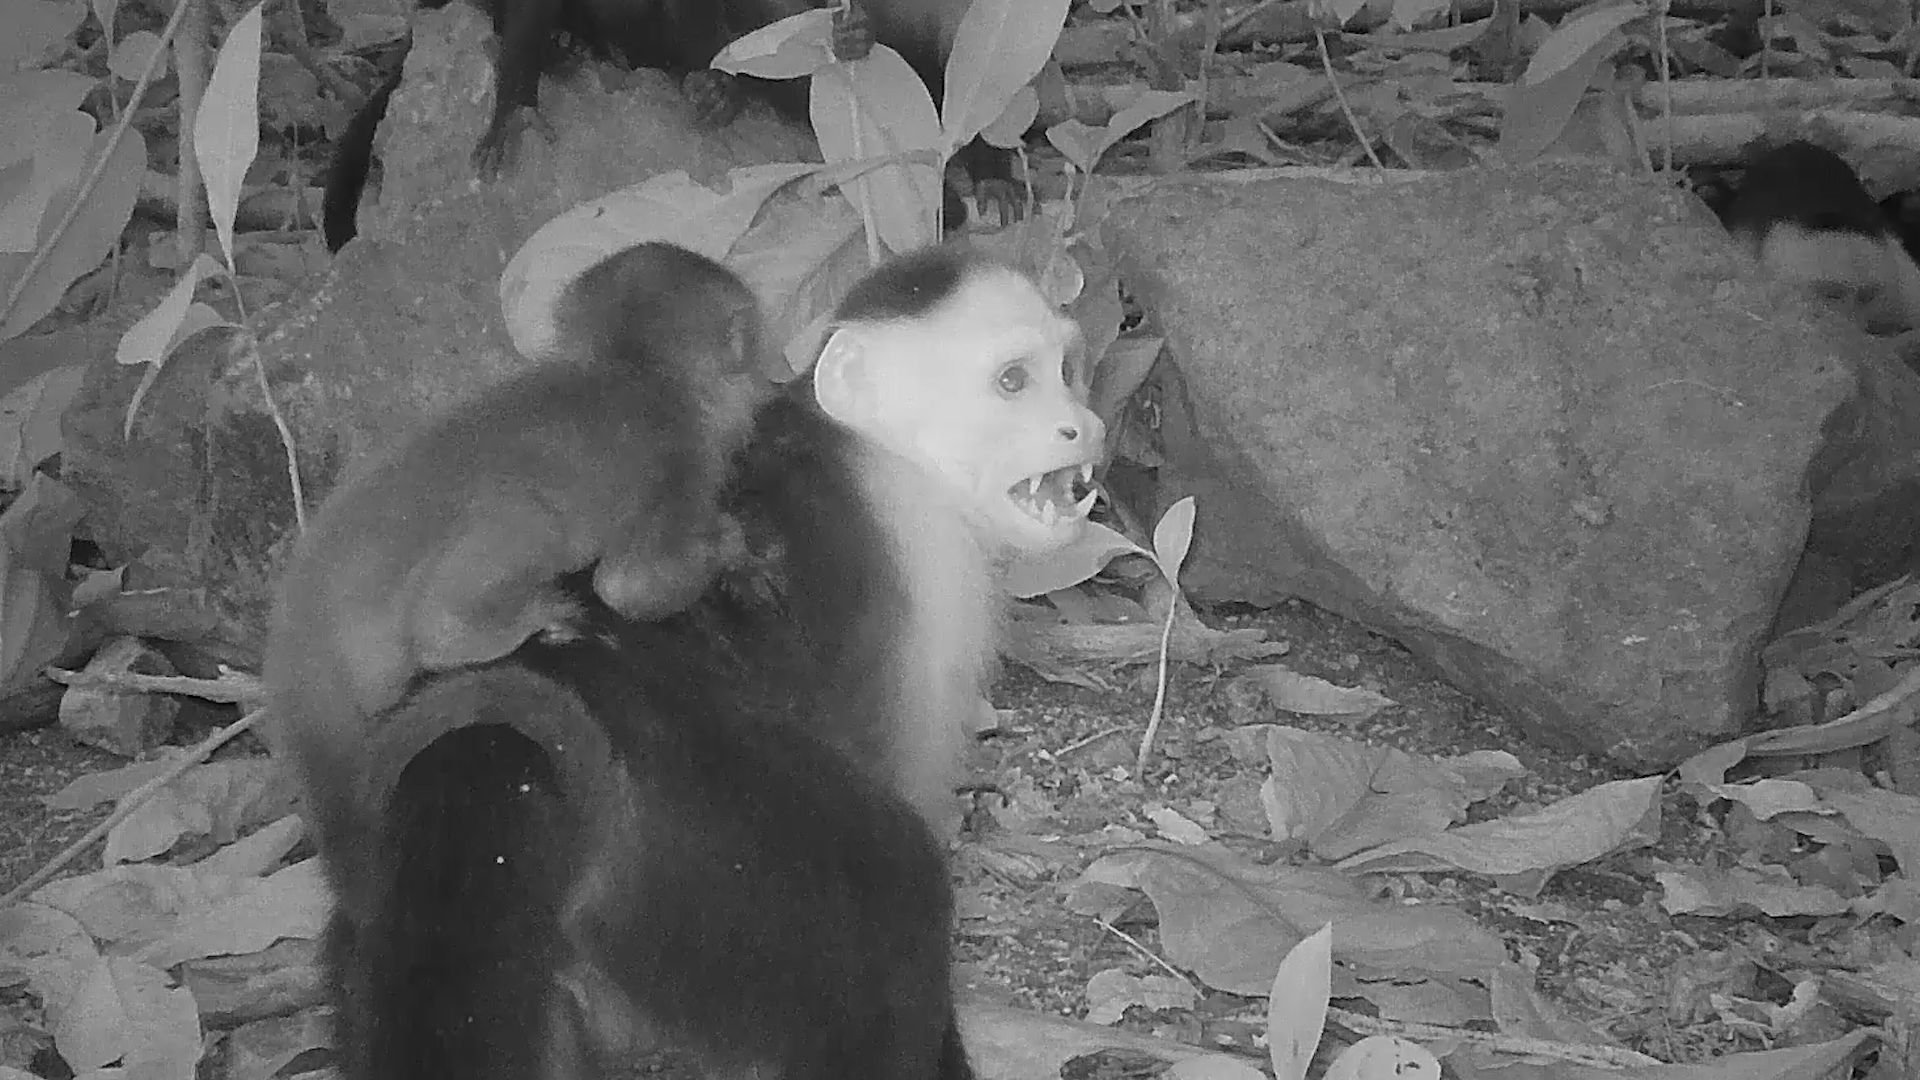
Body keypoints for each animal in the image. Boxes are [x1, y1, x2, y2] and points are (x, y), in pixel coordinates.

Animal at [267, 241, 1103, 1078]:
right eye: (1013, 382)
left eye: (1068, 370)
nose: (1083, 427)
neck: (884, 460)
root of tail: (491, 753)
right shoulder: (918, 561)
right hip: (693, 843)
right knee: (892, 903)